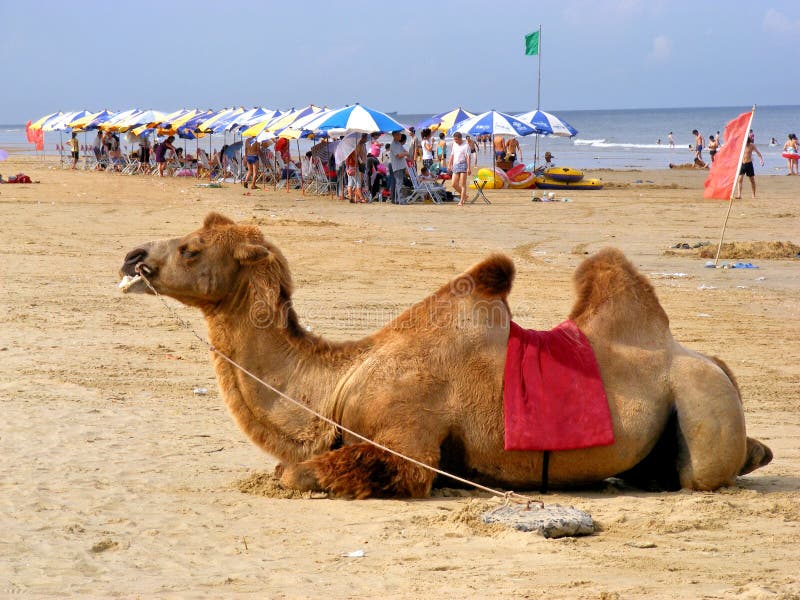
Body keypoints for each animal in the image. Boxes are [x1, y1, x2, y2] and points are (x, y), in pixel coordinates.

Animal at [119, 212, 772, 498]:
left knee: (701, 472)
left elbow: (297, 472)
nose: (132, 257)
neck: (339, 380)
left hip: (702, 404)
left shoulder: (409, 444)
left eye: (192, 248)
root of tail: (719, 365)